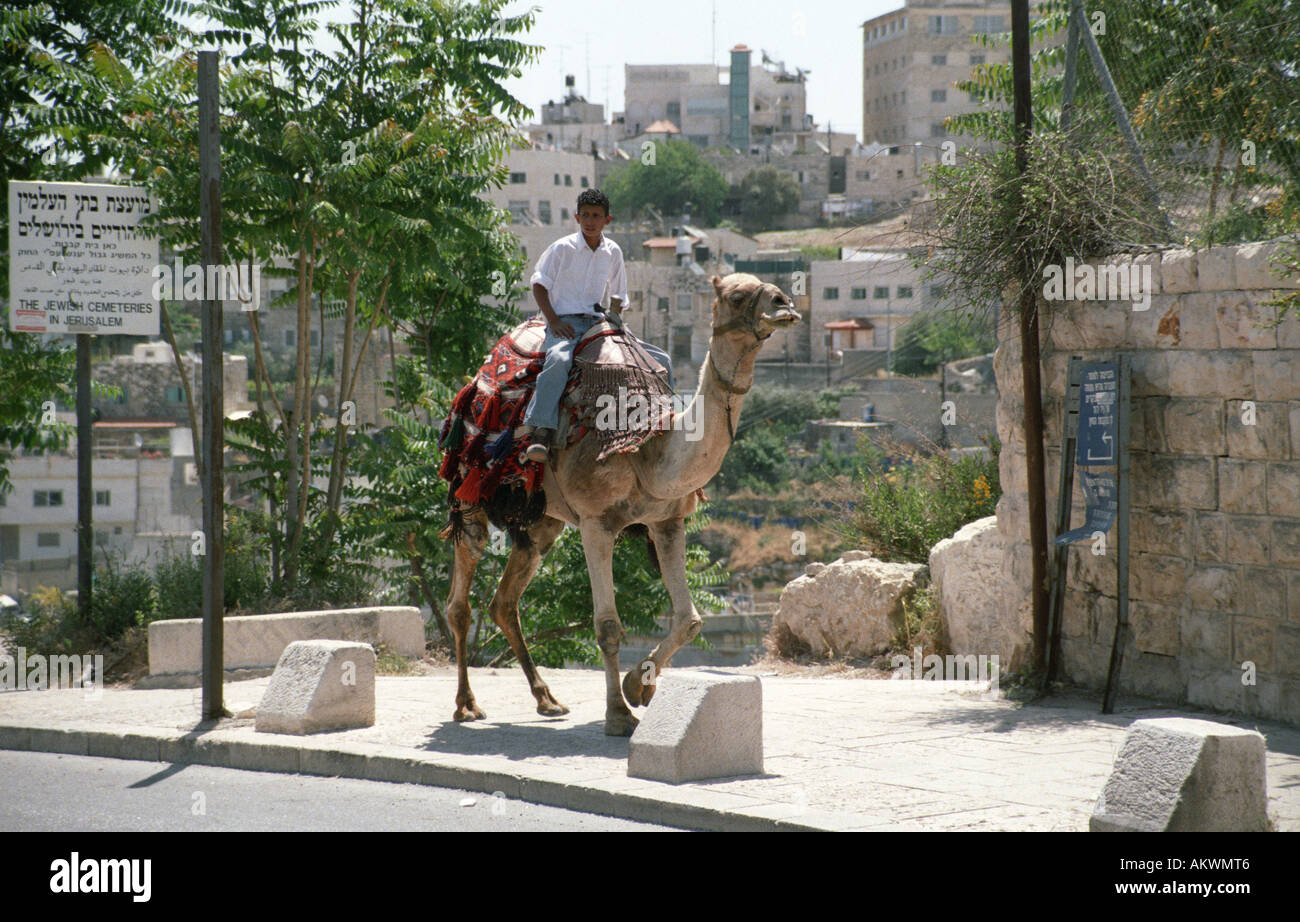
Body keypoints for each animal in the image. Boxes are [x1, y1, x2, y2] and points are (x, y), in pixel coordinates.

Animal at [442, 272, 800, 735]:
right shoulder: (597, 523)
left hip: (541, 518)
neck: (644, 447)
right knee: (462, 595)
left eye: (771, 287)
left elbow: (689, 619)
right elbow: (609, 626)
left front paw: (639, 686)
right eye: (737, 295)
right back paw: (466, 705)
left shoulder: (667, 522)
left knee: (505, 600)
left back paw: (547, 700)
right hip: (470, 488)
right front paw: (617, 714)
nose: (784, 304)